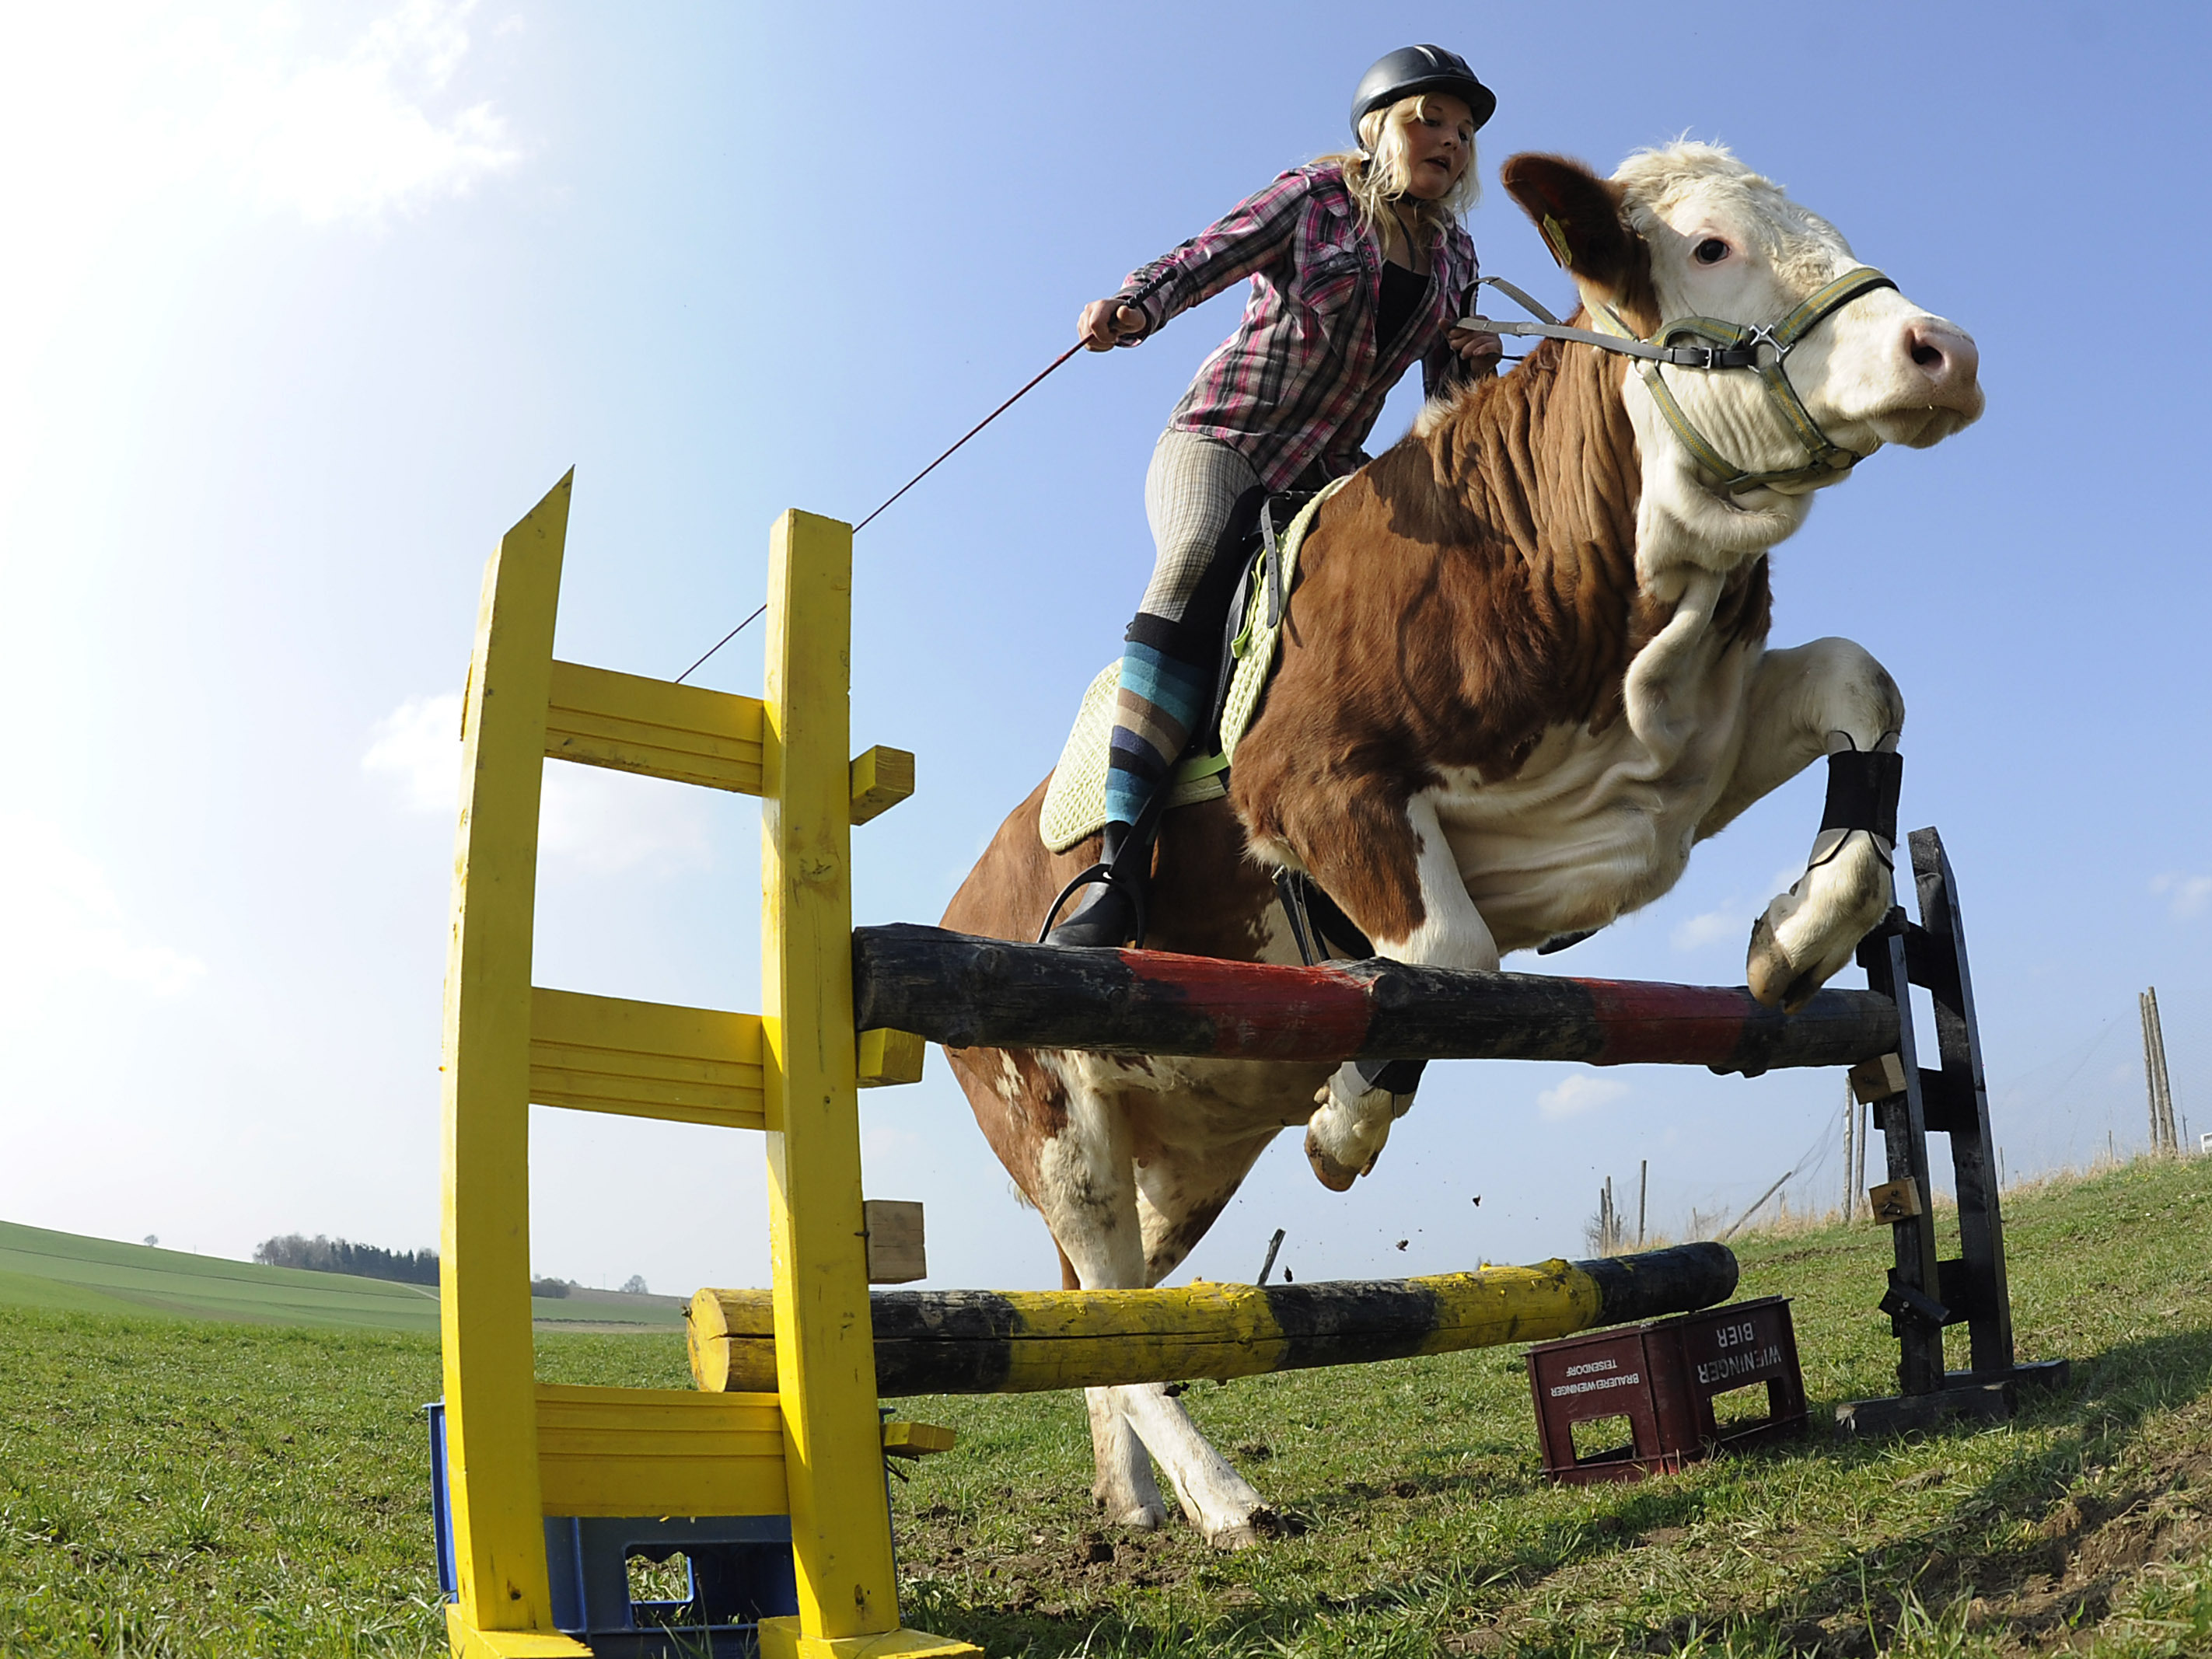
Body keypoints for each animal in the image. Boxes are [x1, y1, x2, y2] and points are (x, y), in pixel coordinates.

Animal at [939, 143, 1983, 1547]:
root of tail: (961, 894)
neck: (1557, 551)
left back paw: (1138, 1500)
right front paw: (1343, 1122)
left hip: (1188, 1148)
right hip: (1056, 1116)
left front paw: (1796, 936)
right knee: (1107, 1304)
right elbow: (1448, 954)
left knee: (1104, 1310)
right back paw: (1225, 1497)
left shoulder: (1671, 761)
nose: (1944, 350)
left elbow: (1860, 686)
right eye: (1709, 246)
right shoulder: (1313, 785)